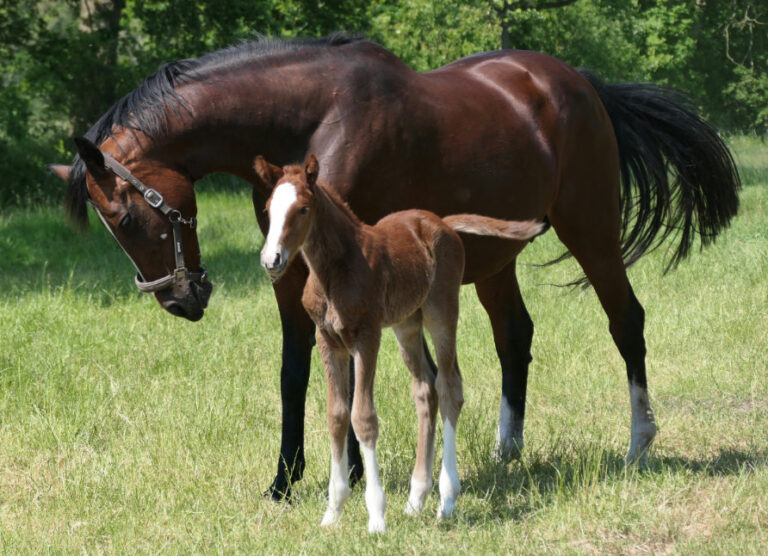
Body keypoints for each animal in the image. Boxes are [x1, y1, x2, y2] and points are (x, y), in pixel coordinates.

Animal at [254, 153, 544, 531]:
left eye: (302, 209)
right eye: (268, 208)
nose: (271, 260)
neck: (335, 270)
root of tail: (442, 223)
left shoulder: (367, 335)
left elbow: (363, 418)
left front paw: (376, 516)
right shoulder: (328, 339)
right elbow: (337, 416)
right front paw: (333, 512)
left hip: (440, 313)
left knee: (450, 387)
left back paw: (447, 499)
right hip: (407, 325)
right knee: (425, 389)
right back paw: (416, 498)